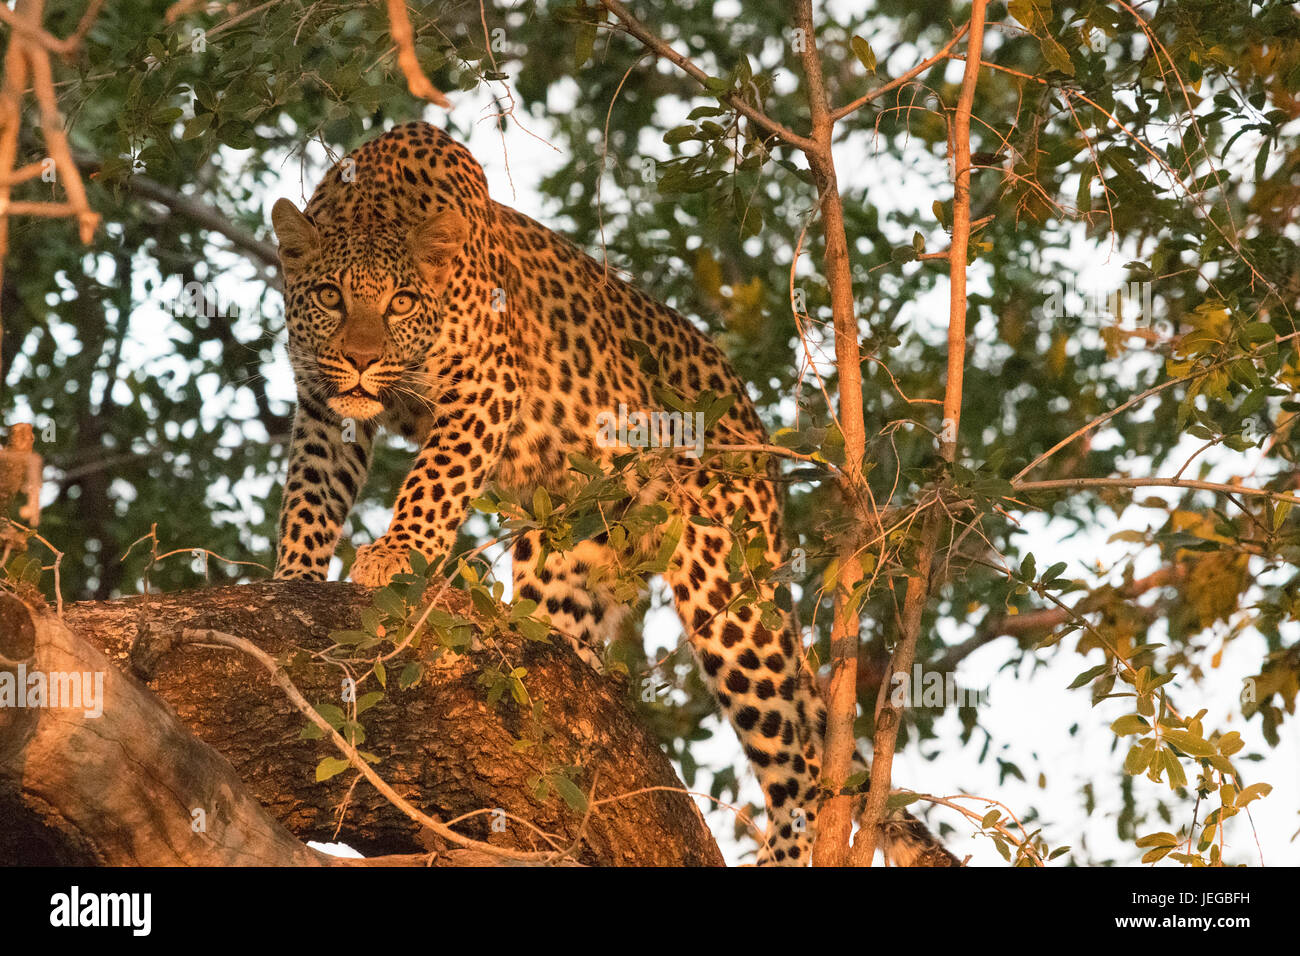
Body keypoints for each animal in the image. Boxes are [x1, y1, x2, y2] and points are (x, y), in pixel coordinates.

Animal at [270, 121, 956, 867]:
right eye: (330, 296)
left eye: (401, 302)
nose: (362, 359)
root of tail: (748, 418)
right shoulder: (322, 406)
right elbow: (307, 497)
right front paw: (291, 578)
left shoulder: (484, 386)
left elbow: (435, 479)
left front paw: (397, 553)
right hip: (573, 544)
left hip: (730, 591)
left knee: (797, 758)